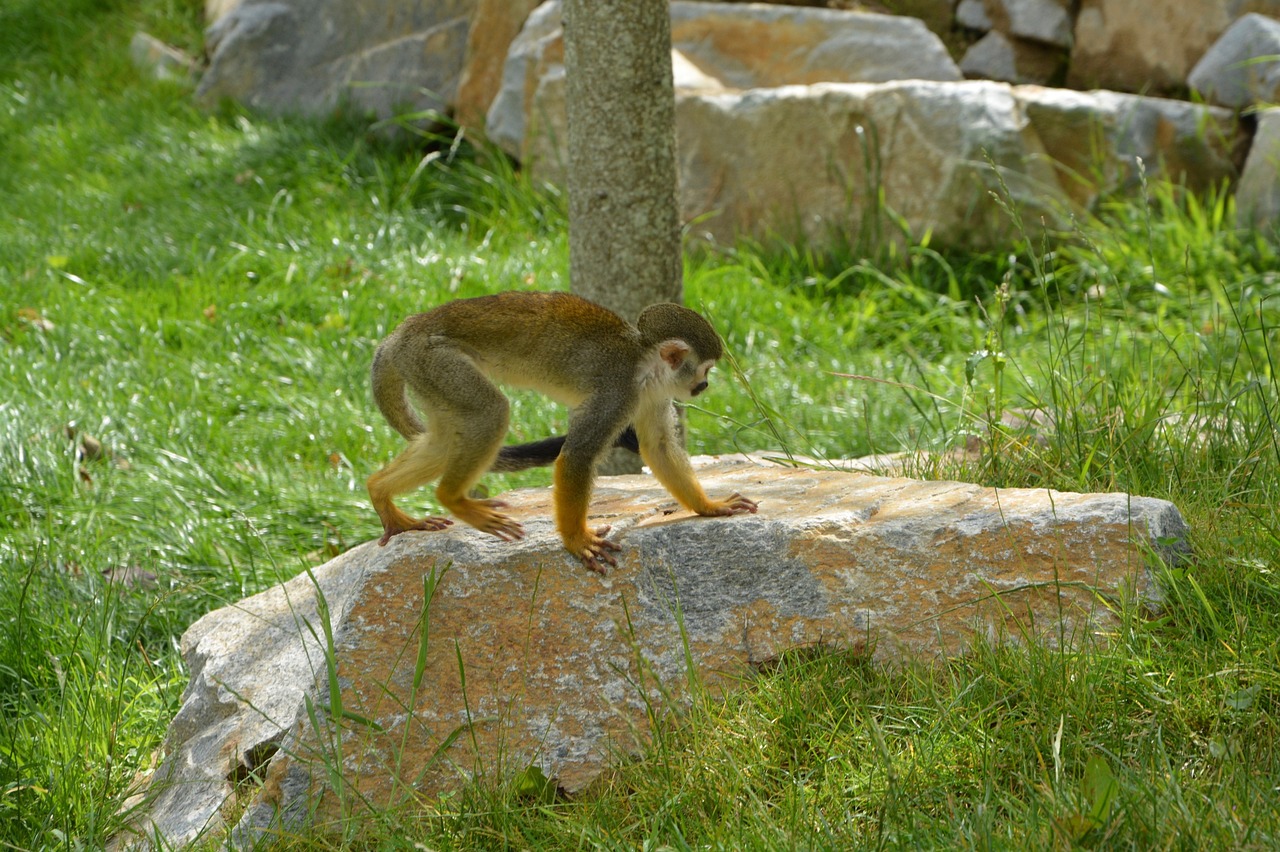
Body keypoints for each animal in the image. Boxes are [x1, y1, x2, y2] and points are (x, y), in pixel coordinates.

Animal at [366, 291, 758, 573]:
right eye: (705, 369)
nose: (704, 386)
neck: (643, 364)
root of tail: (401, 332)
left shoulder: (653, 394)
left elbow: (659, 447)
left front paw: (709, 506)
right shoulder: (618, 392)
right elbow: (577, 456)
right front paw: (576, 540)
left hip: (426, 372)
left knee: (447, 437)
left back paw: (380, 492)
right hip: (436, 359)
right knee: (490, 412)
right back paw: (452, 498)